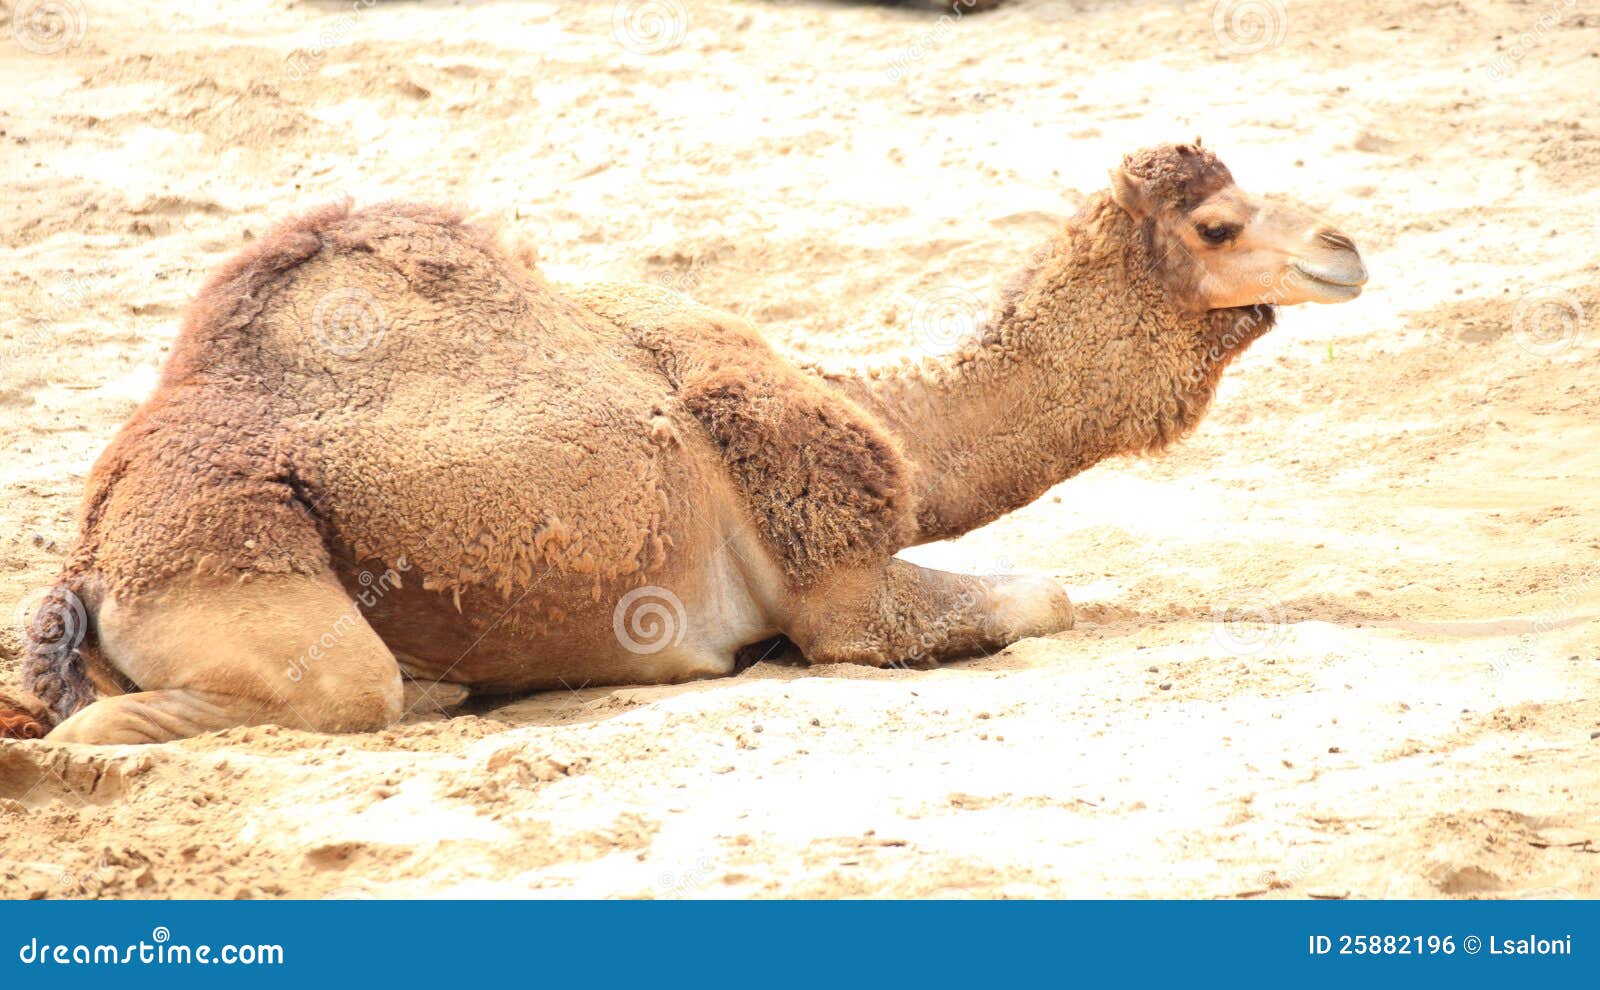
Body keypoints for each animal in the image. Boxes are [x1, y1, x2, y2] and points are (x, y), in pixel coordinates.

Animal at [2, 141, 1366, 745]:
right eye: (1218, 222)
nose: (1344, 245)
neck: (900, 432)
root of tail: (86, 560)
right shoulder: (841, 590)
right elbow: (1044, 597)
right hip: (243, 568)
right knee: (213, 712)